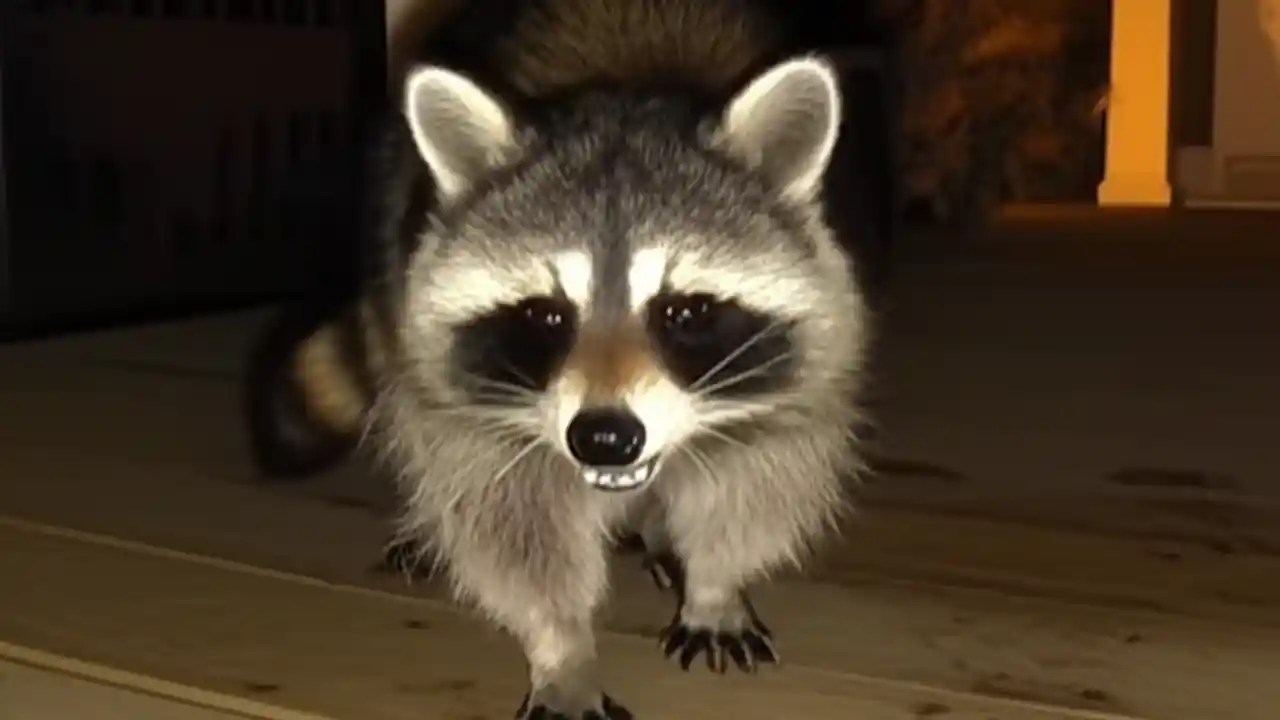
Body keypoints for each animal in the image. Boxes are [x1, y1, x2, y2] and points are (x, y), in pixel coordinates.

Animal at [246, 1, 872, 717]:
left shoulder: (793, 377)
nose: (604, 438)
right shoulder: (484, 409)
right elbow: (513, 521)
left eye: (683, 314)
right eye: (545, 316)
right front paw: (562, 649)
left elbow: (755, 481)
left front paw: (717, 583)